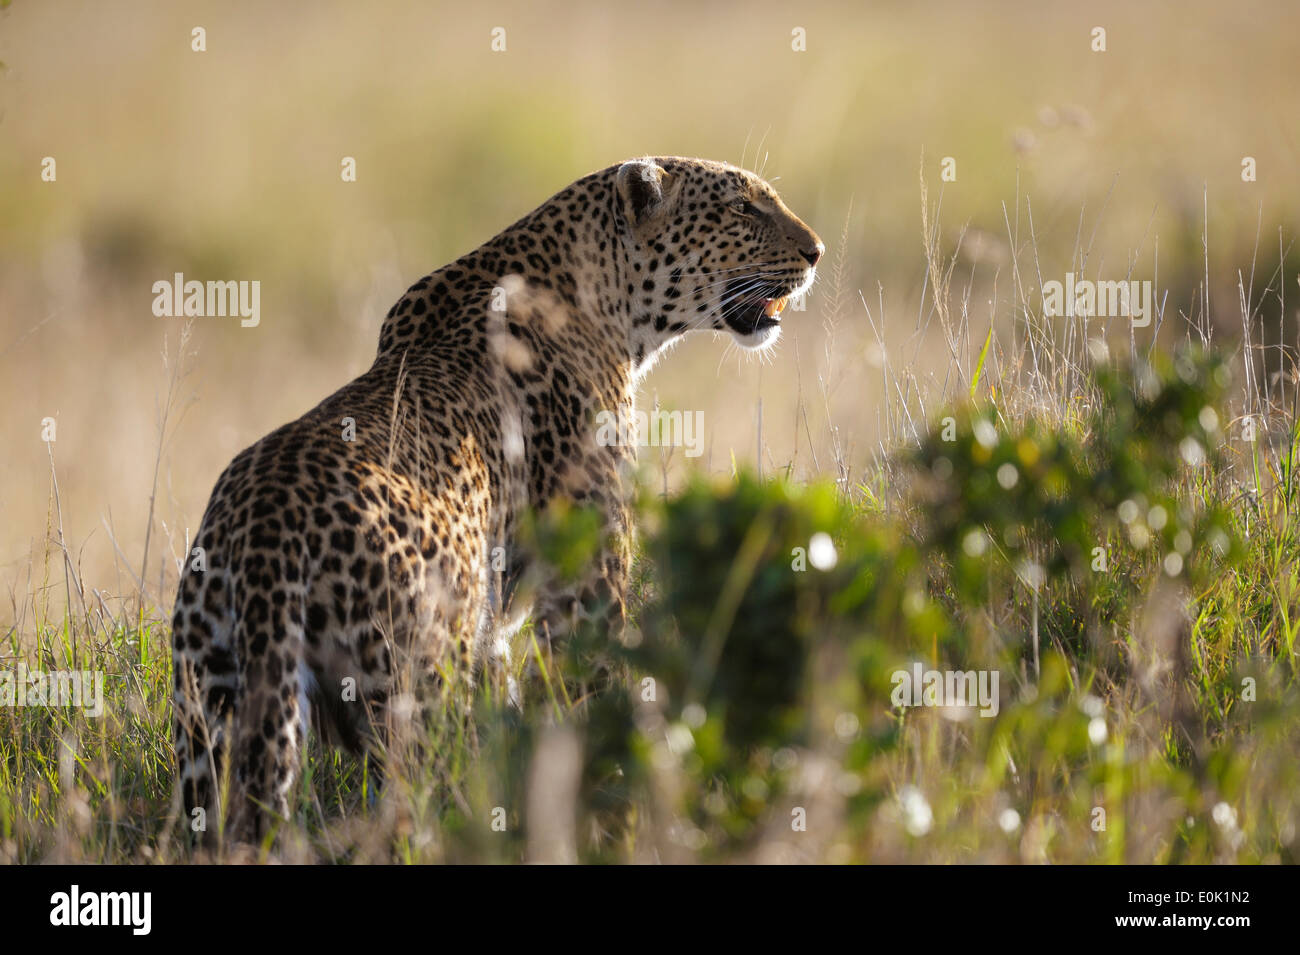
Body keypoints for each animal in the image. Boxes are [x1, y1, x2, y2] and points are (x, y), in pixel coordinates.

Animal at [170, 156, 823, 843]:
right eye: (741, 208)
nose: (817, 252)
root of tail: (269, 528)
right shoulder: (587, 585)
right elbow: (599, 697)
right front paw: (617, 811)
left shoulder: (495, 625)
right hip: (415, 683)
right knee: (411, 806)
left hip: (204, 702)